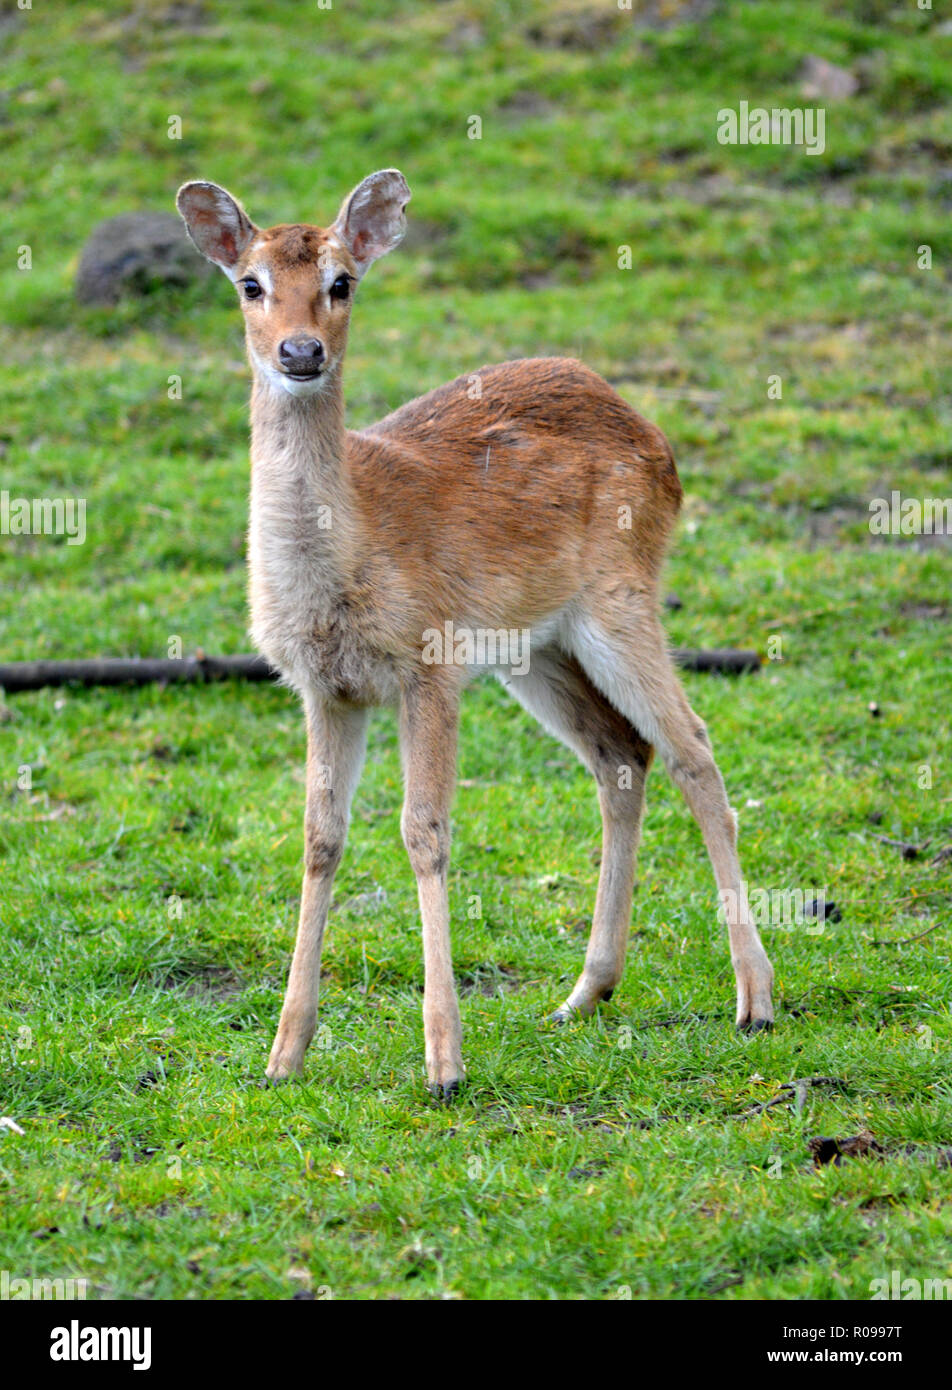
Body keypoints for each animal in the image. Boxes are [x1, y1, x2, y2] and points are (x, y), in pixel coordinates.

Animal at [176, 169, 774, 1099]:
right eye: (250, 284)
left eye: (343, 281)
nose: (300, 353)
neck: (343, 564)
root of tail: (660, 441)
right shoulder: (326, 687)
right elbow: (319, 838)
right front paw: (283, 1055)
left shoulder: (429, 666)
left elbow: (424, 832)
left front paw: (444, 1062)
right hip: (538, 649)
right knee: (621, 754)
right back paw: (584, 992)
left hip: (621, 601)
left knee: (693, 747)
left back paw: (754, 1000)